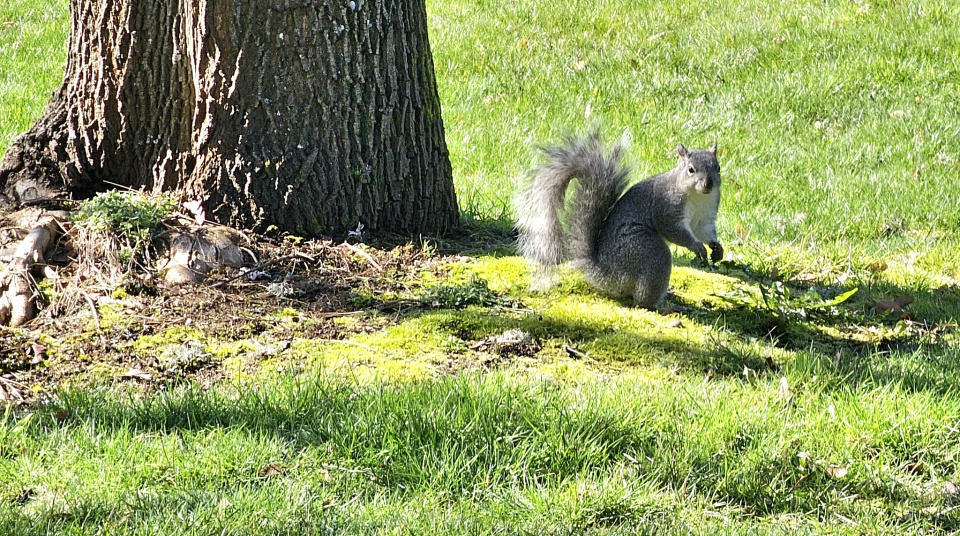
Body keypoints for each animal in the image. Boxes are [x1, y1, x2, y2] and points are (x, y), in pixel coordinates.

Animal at [514, 129, 723, 309]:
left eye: (718, 167)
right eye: (691, 169)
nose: (708, 184)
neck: (698, 197)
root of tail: (607, 273)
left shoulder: (705, 216)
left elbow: (703, 231)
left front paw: (717, 249)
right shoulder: (667, 206)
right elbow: (674, 230)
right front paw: (696, 246)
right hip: (644, 250)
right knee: (643, 297)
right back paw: (661, 307)